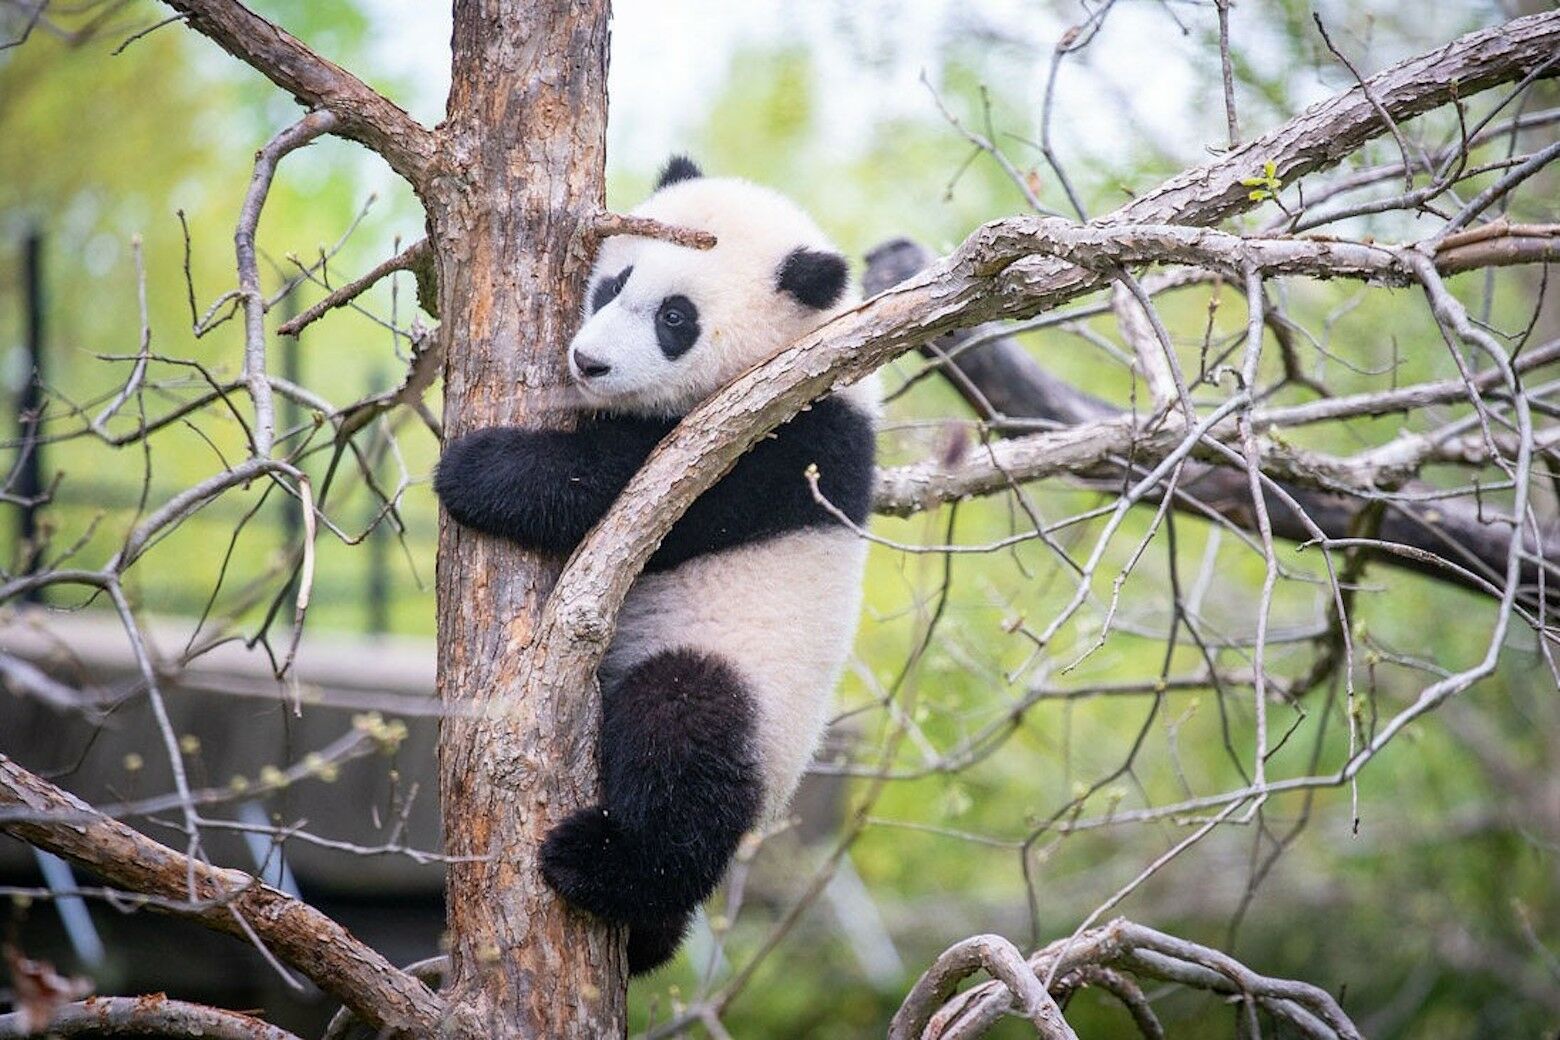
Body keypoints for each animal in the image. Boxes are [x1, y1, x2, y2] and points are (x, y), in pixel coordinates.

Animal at [433, 156, 877, 975]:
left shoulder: (790, 442)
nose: (589, 361)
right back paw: (645, 935)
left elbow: (629, 488)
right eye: (614, 284)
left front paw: (480, 471)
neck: (804, 350)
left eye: (676, 318)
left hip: (749, 689)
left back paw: (609, 871)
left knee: (684, 740)